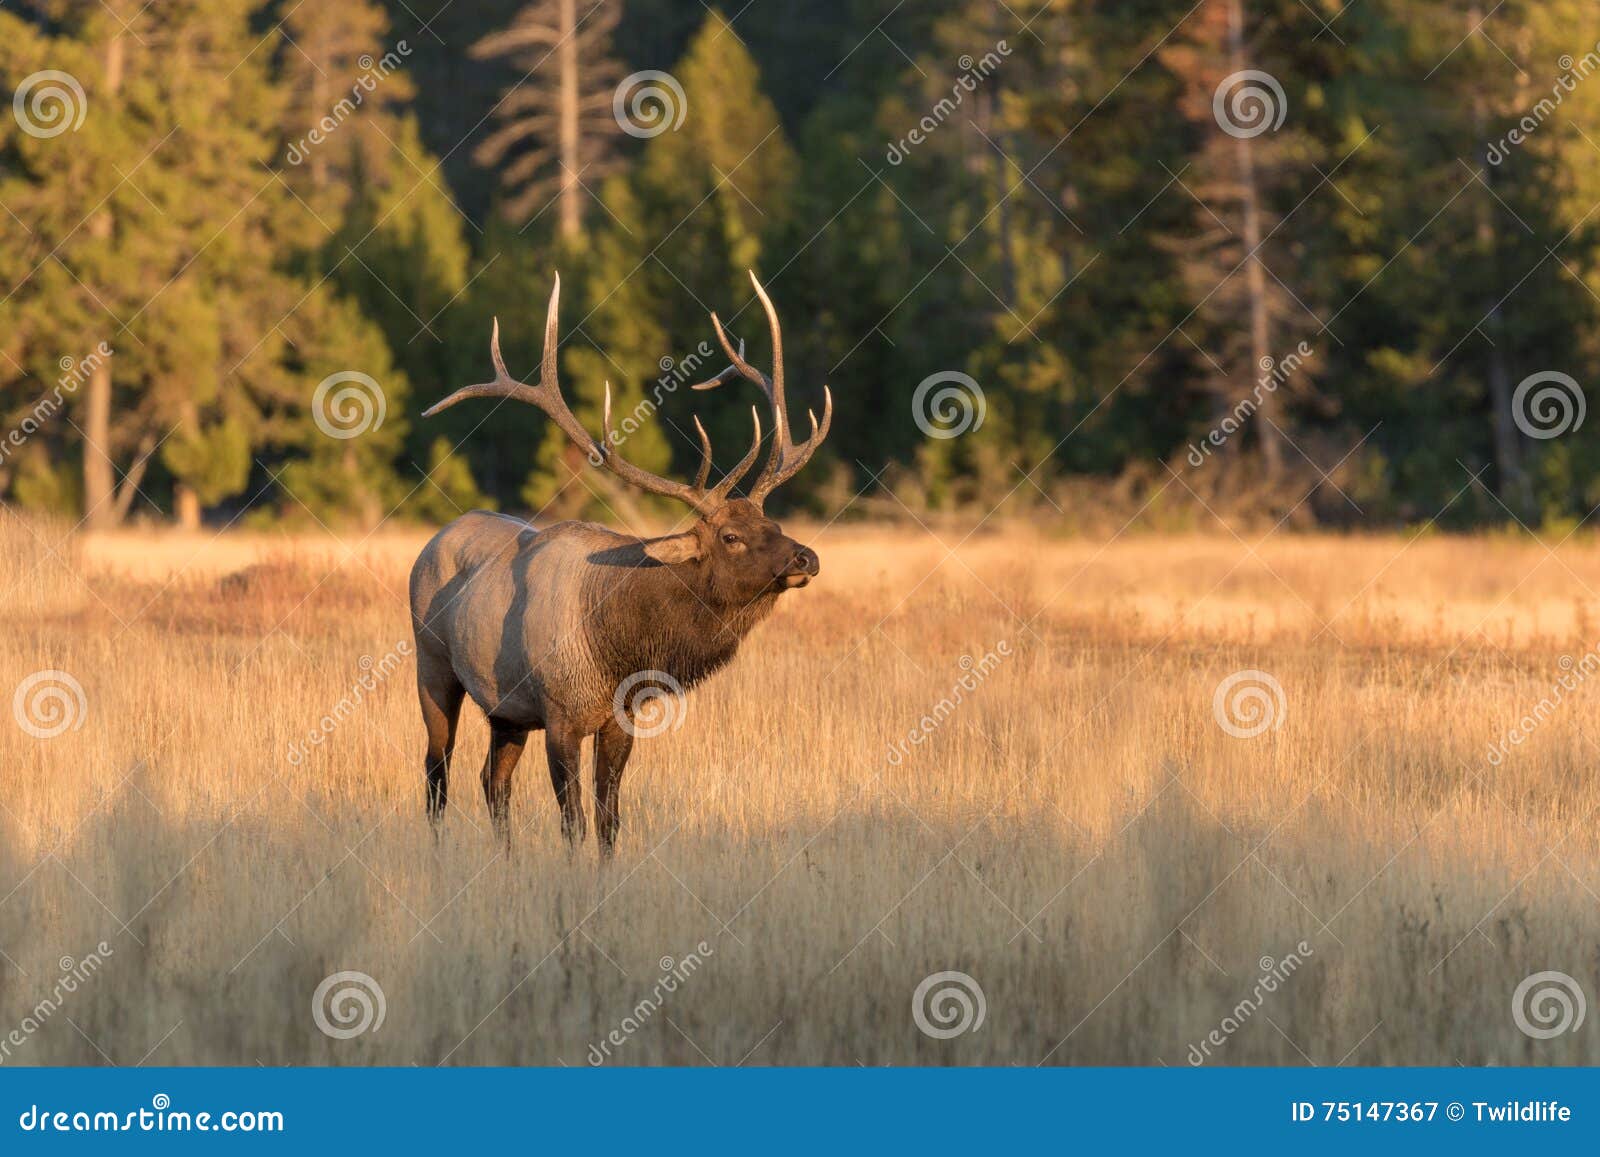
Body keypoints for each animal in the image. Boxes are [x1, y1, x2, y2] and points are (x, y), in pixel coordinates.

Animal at [408, 271, 830, 856]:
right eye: (731, 537)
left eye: (773, 524)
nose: (807, 556)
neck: (618, 650)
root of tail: (432, 542)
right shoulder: (560, 715)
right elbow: (575, 821)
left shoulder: (620, 719)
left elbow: (610, 819)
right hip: (432, 667)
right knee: (436, 773)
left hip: (505, 711)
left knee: (492, 782)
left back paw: (507, 859)